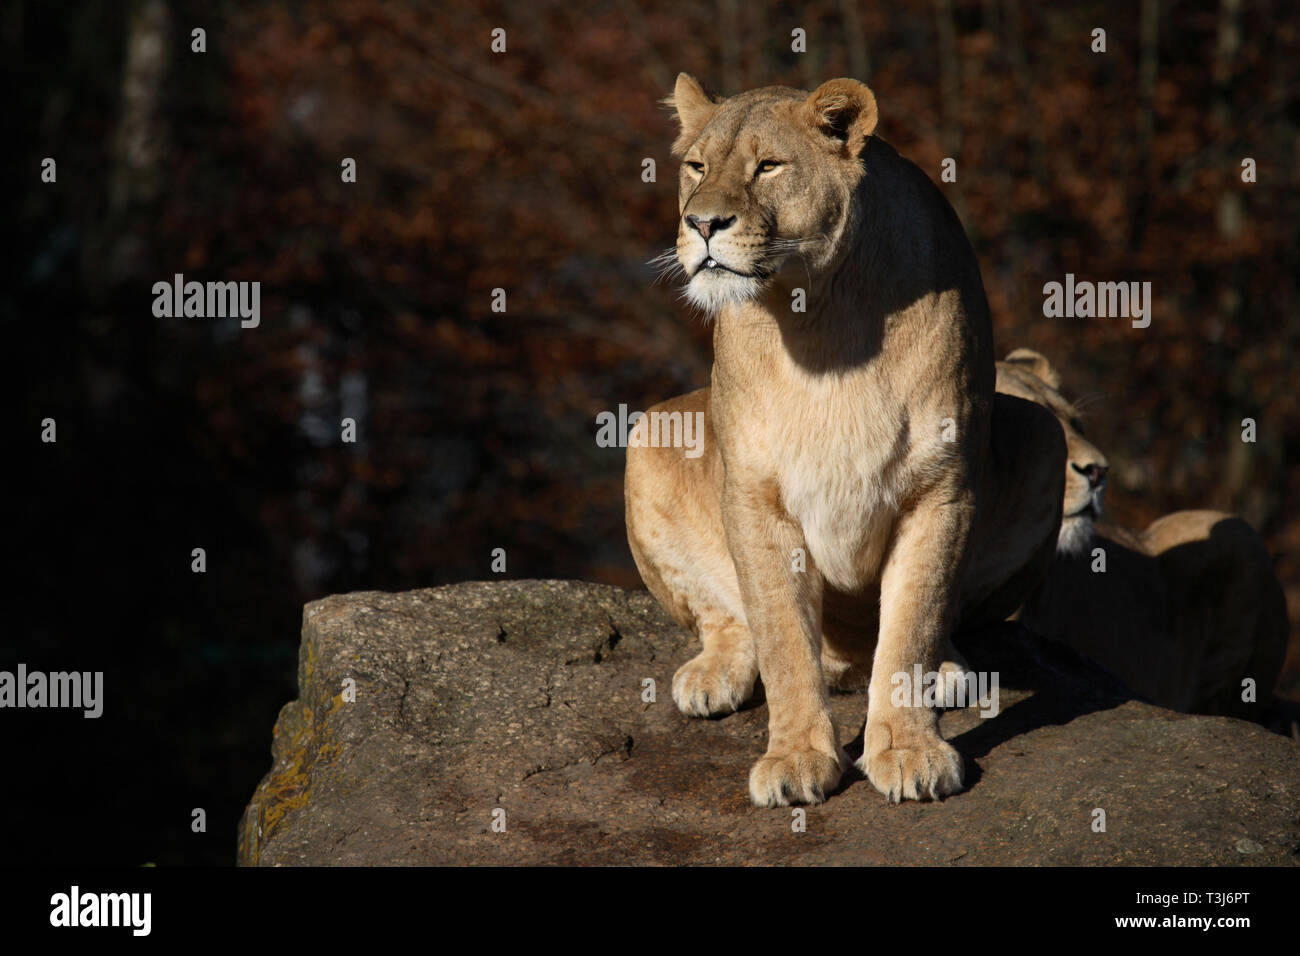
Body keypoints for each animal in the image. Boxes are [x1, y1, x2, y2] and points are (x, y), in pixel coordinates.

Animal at [624, 74, 1066, 806]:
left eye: (768, 166)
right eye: (696, 167)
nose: (702, 224)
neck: (820, 319)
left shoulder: (941, 489)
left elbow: (913, 623)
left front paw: (909, 750)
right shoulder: (756, 497)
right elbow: (782, 639)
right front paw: (797, 756)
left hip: (1047, 435)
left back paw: (950, 672)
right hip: (648, 436)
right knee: (732, 621)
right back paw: (712, 677)